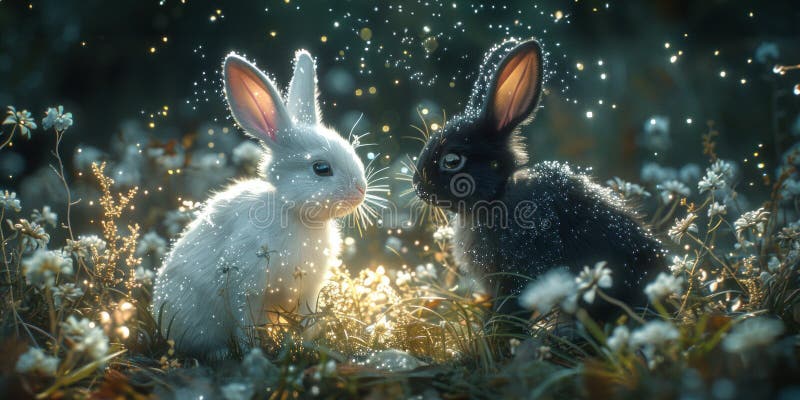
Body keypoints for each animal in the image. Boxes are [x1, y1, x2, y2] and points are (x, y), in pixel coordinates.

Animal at [153, 50, 368, 359]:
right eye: (321, 168)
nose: (361, 191)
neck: (293, 212)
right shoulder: (246, 286)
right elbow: (246, 323)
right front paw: (254, 351)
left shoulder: (309, 290)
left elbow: (307, 318)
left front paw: (308, 343)